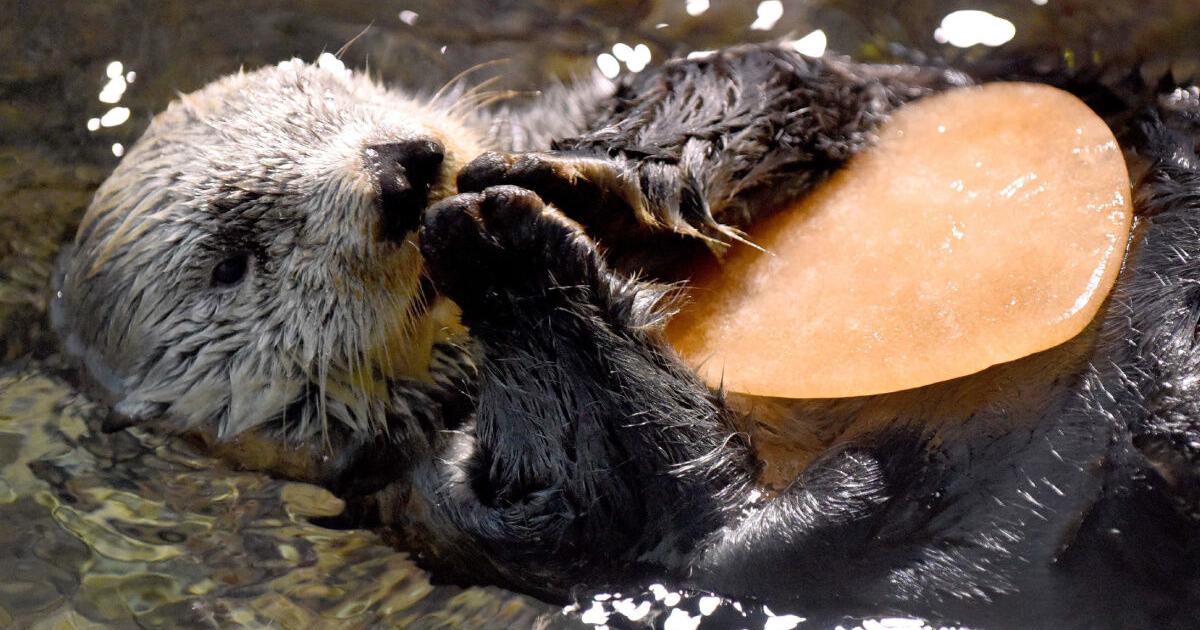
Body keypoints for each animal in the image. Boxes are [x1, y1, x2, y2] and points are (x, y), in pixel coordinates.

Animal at [52, 46, 1199, 628]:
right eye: (233, 257)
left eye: (345, 101)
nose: (403, 168)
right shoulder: (455, 498)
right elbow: (631, 497)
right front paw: (503, 248)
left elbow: (799, 85)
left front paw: (593, 167)